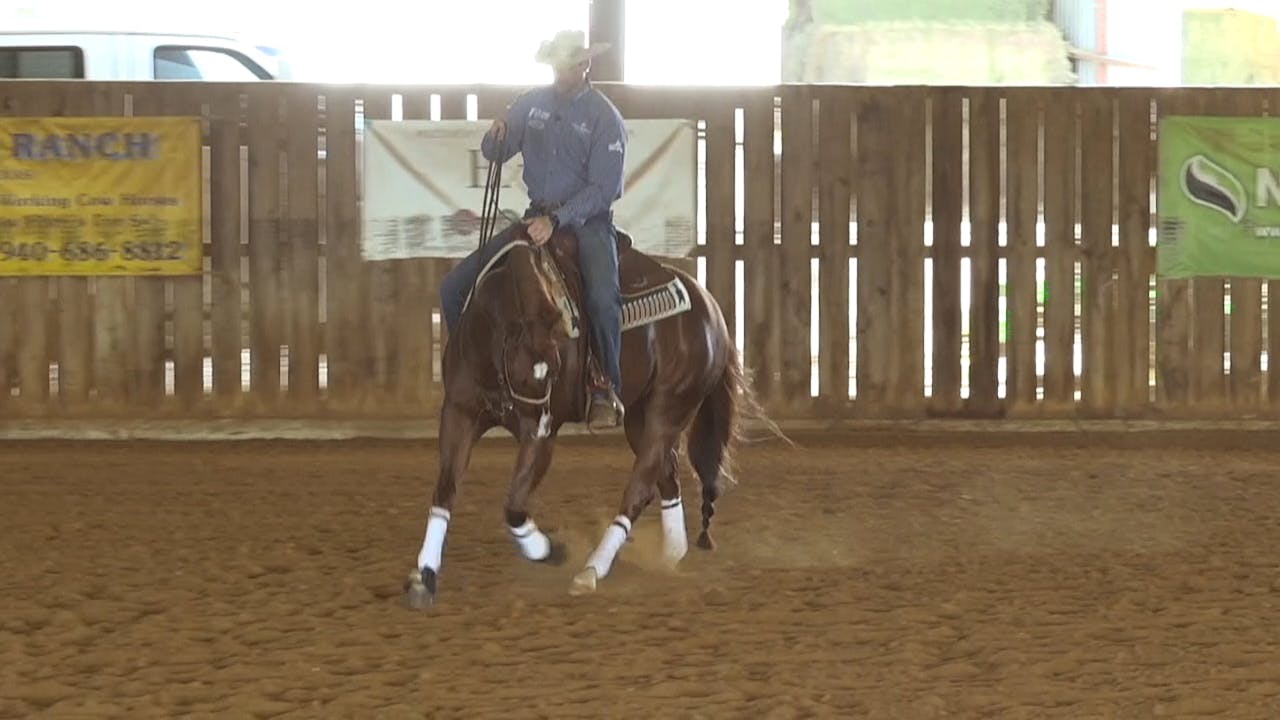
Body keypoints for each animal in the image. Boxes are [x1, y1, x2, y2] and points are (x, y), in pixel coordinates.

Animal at [403, 223, 757, 607]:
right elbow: (445, 490)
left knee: (639, 486)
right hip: (638, 417)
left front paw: (547, 549)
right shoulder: (458, 413)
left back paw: (592, 570)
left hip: (670, 409)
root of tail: (711, 309)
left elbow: (514, 507)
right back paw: (669, 556)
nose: (539, 421)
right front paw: (425, 575)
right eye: (524, 372)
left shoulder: (540, 437)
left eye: (556, 367)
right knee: (664, 478)